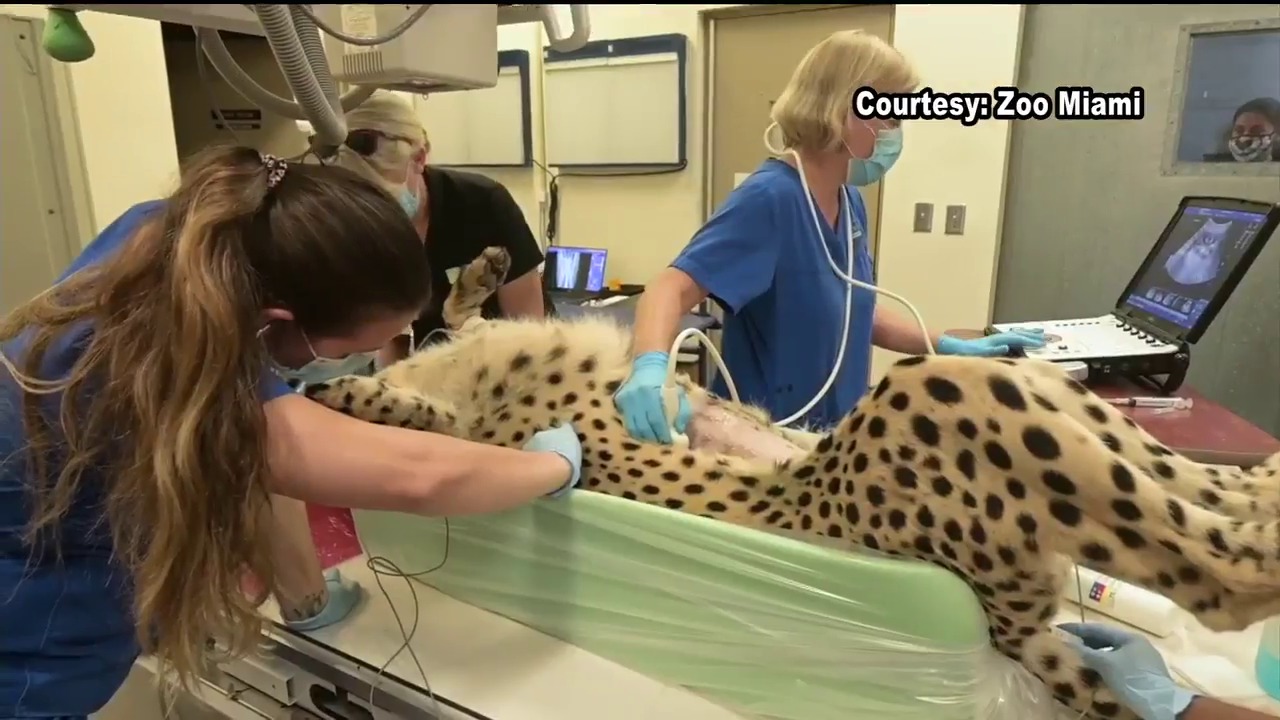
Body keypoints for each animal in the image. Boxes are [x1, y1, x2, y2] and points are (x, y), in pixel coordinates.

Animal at [306, 247, 1280, 720]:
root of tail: (1006, 628)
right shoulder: (470, 437)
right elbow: (397, 414)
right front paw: (338, 387)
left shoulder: (467, 386)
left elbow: (446, 328)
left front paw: (464, 282)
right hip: (956, 404)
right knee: (1223, 577)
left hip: (1014, 398)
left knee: (1202, 507)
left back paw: (1263, 486)